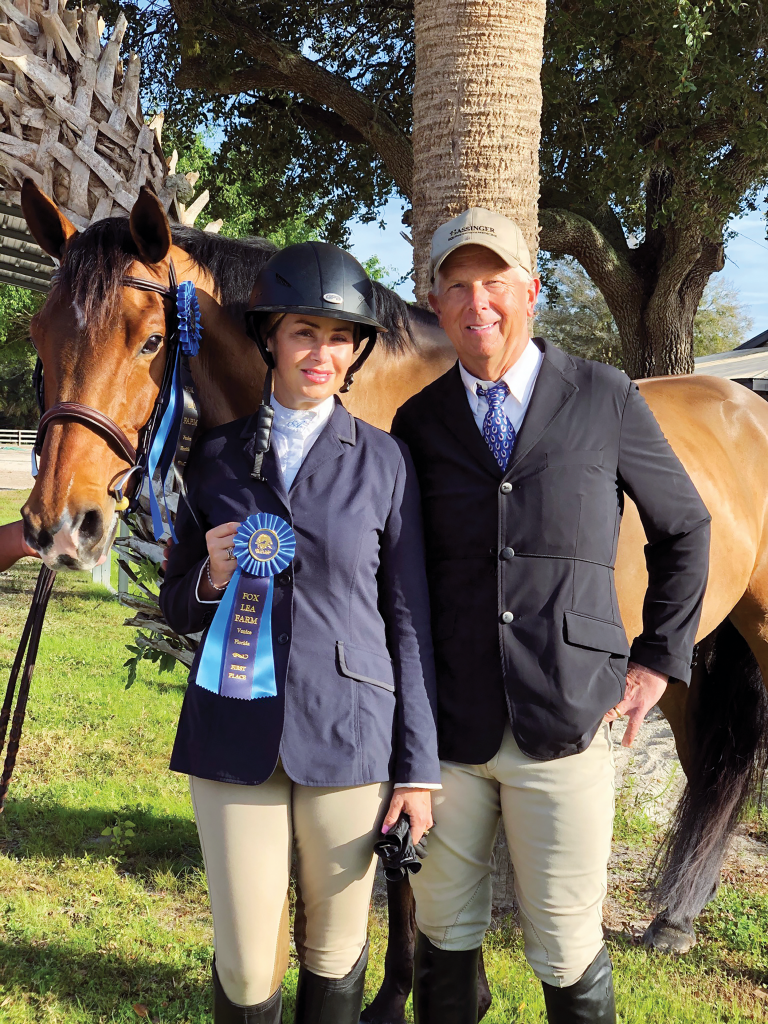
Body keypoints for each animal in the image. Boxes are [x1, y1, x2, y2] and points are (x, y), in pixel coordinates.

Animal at [17, 178, 768, 1022]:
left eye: (149, 341)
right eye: (41, 335)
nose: (59, 527)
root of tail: (742, 403)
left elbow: (404, 850)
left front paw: (400, 995)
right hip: (680, 650)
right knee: (708, 759)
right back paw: (676, 919)